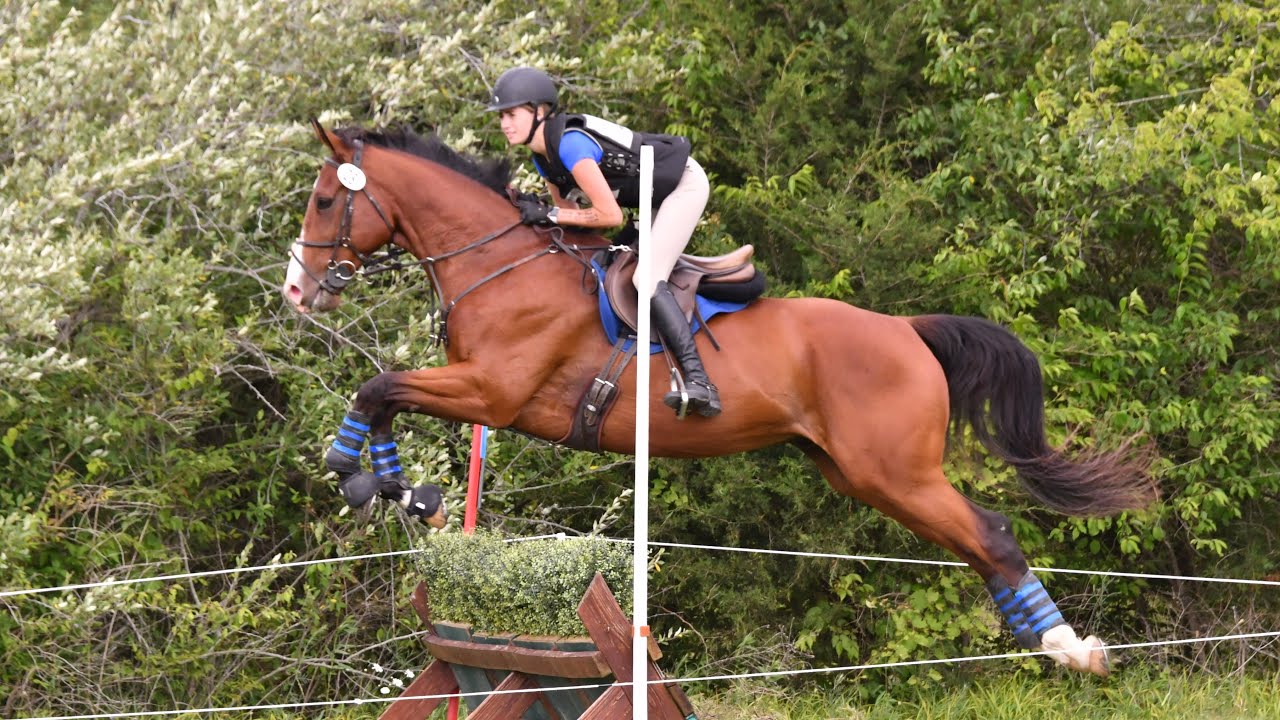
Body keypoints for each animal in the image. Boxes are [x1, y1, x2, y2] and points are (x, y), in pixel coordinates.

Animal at [282, 120, 1155, 677]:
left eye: (325, 202)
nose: (297, 291)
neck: (503, 265)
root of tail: (907, 330)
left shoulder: (495, 395)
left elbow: (378, 384)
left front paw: (355, 471)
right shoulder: (478, 394)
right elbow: (388, 396)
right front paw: (400, 487)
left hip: (894, 472)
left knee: (993, 533)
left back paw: (1074, 651)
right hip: (862, 474)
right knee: (976, 543)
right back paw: (1050, 642)